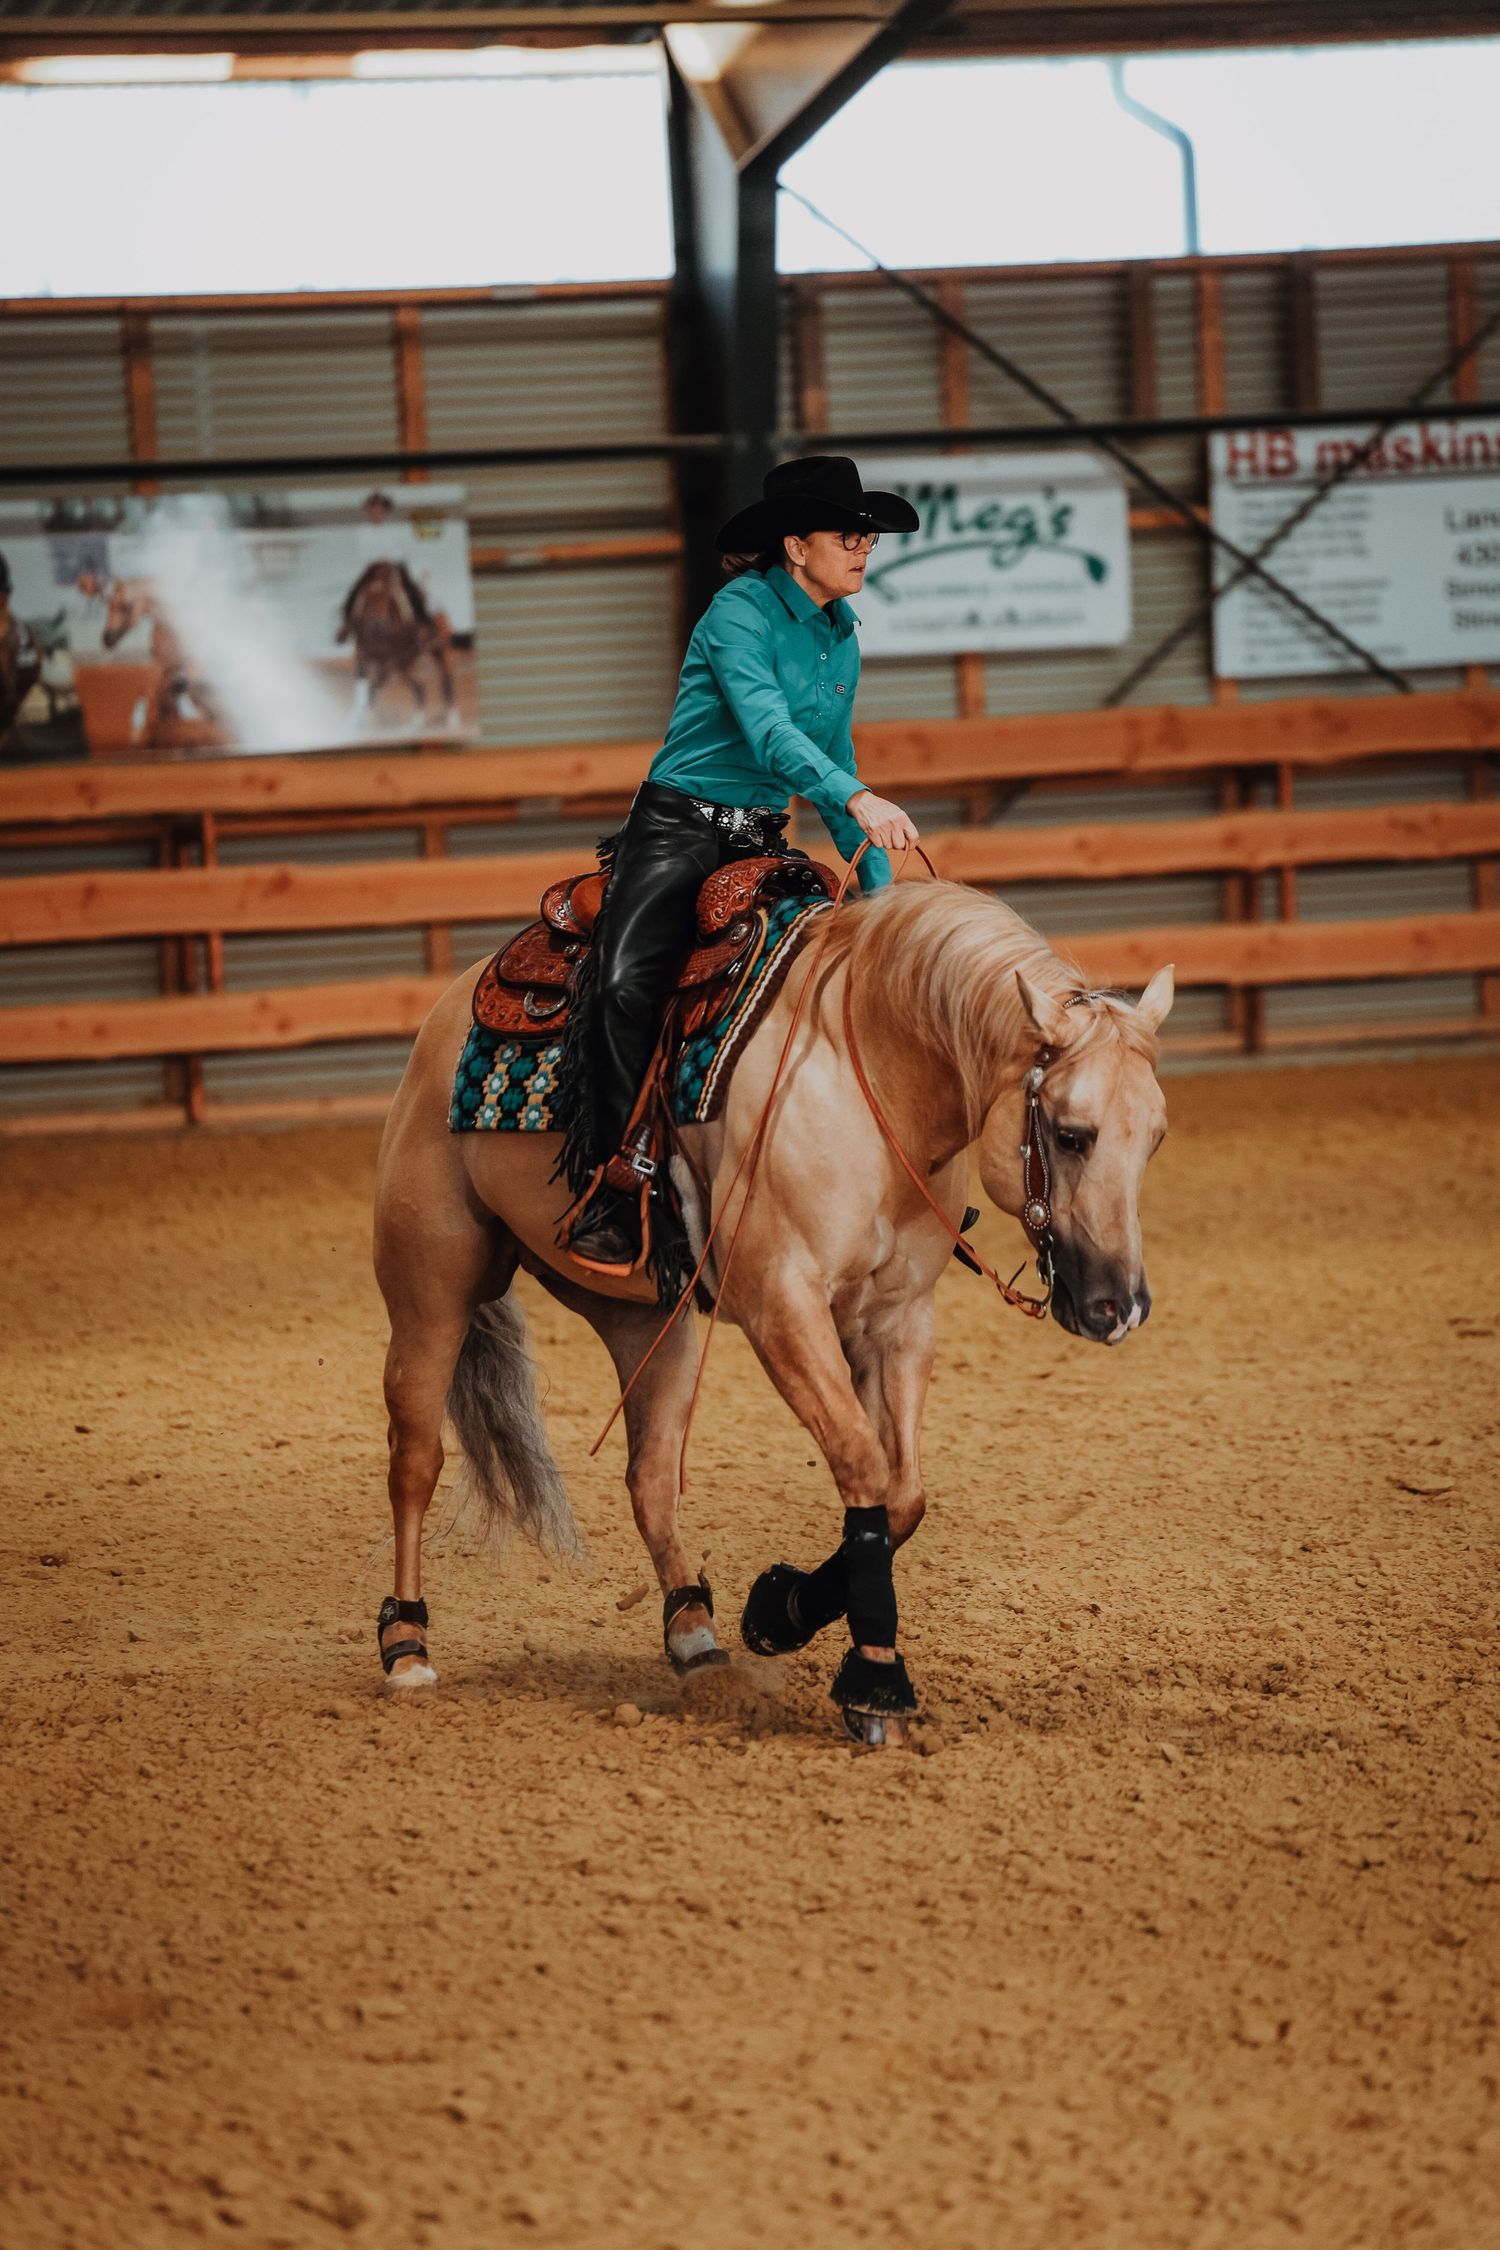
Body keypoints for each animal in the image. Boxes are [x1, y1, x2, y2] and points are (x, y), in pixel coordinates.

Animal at [338, 561, 456, 733]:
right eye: (365, 597)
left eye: (388, 599)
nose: (378, 625)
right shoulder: (365, 659)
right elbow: (364, 689)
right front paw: (353, 721)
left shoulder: (389, 663)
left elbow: (371, 690)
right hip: (403, 665)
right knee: (420, 688)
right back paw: (414, 724)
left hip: (438, 653)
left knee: (445, 682)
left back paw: (453, 721)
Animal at [371, 875, 1173, 1743]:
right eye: (1070, 1134)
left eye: (1156, 1139)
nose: (1119, 1307)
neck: (869, 1076)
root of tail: (443, 1018)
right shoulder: (783, 1308)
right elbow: (862, 1466)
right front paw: (873, 1681)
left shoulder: (897, 1319)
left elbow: (902, 1494)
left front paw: (777, 1611)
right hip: (428, 1292)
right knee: (416, 1459)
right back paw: (407, 1647)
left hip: (649, 1321)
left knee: (649, 1478)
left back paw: (696, 1637)